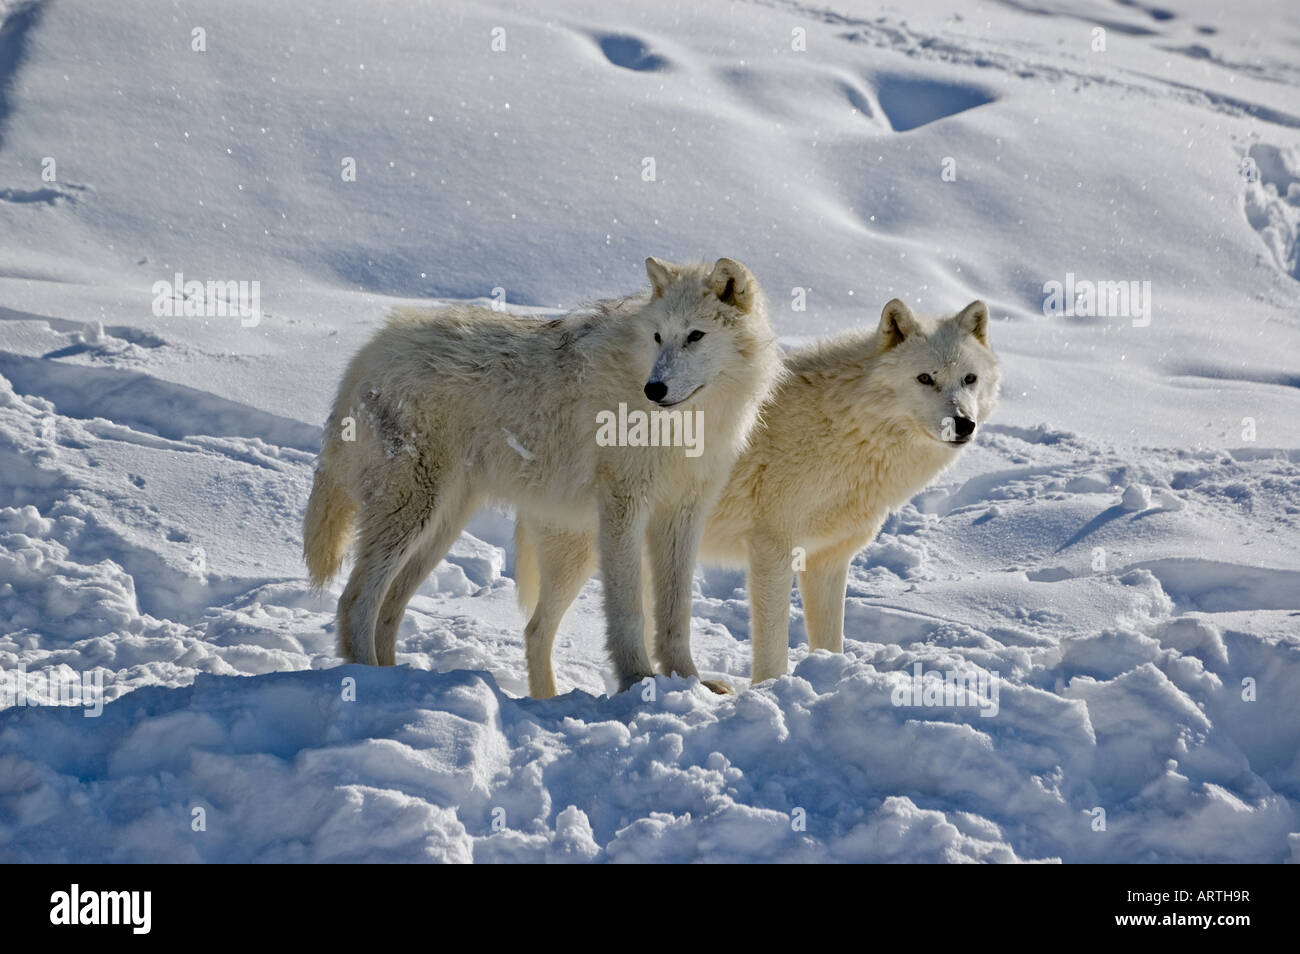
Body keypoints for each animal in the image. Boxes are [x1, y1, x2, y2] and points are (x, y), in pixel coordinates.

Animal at [303, 257, 781, 693]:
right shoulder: (625, 506)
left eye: (695, 336)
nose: (654, 389)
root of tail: (370, 350)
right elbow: (629, 610)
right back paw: (368, 680)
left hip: (452, 531)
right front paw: (637, 682)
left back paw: (399, 680)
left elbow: (676, 614)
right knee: (355, 600)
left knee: (403, 611)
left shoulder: (682, 514)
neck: (687, 423)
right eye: (659, 336)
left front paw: (690, 682)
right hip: (417, 515)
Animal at [516, 297, 1000, 692]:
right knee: (537, 631)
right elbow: (772, 645)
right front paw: (772, 690)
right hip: (586, 556)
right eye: (925, 378)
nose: (964, 424)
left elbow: (831, 643)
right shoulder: (772, 548)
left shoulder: (828, 560)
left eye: (969, 379)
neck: (849, 430)